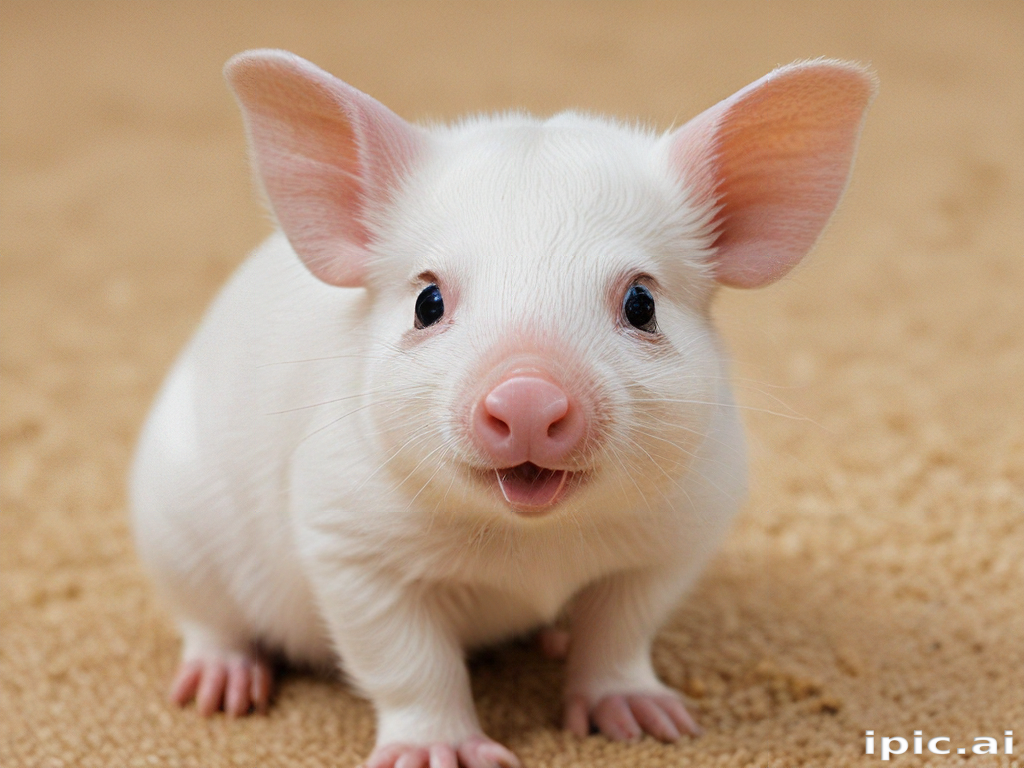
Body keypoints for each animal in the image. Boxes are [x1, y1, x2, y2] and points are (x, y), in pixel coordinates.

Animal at [130, 49, 875, 768]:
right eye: (427, 301)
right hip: (169, 526)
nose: (526, 395)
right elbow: (407, 661)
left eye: (642, 302)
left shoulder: (681, 533)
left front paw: (647, 721)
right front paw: (438, 754)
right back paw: (221, 689)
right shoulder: (347, 539)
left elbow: (622, 632)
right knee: (206, 620)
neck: (530, 552)